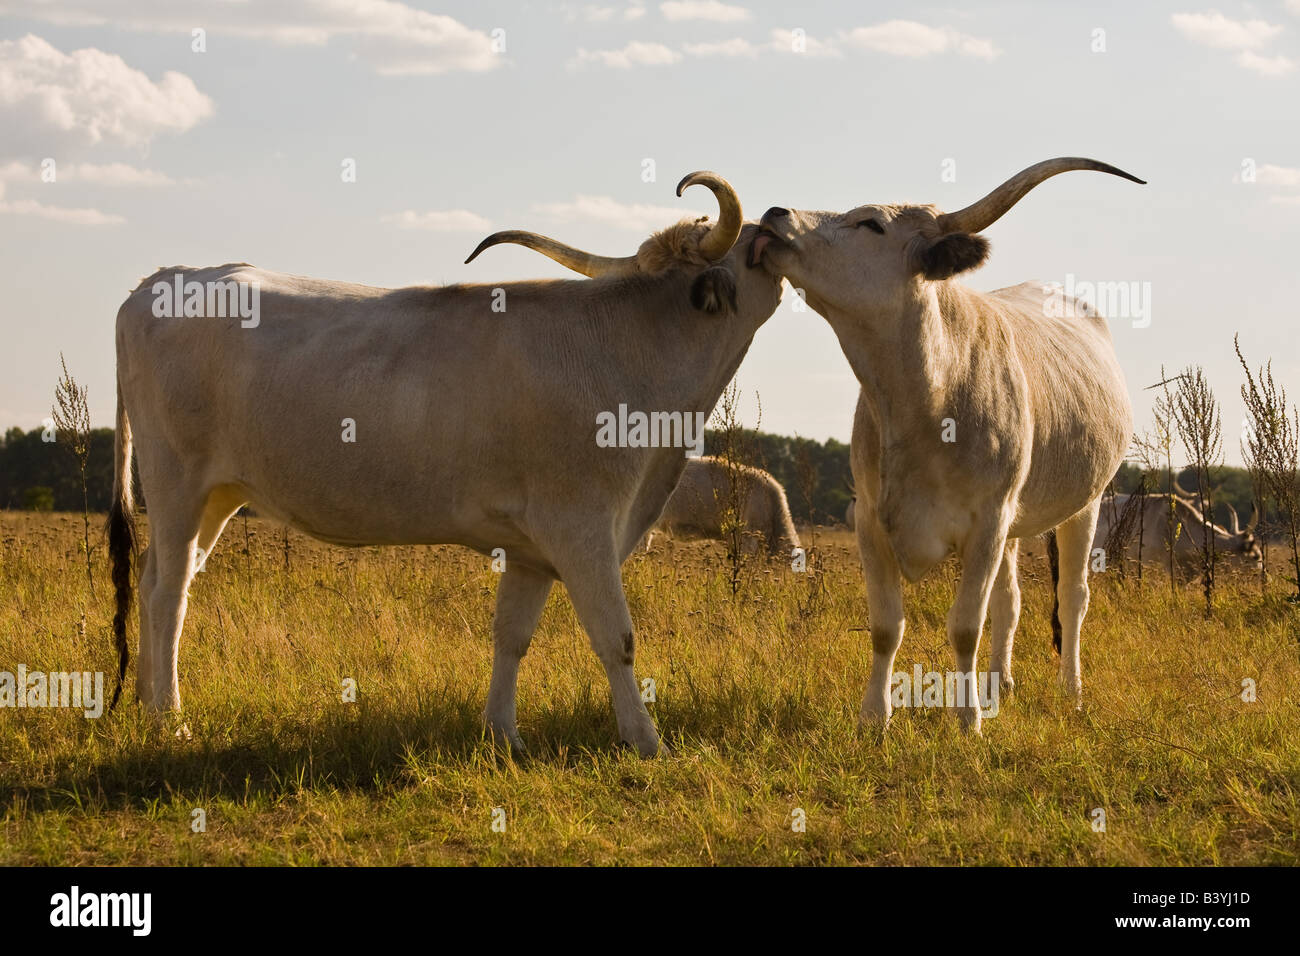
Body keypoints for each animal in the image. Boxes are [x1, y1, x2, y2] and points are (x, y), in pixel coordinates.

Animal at [107, 171, 783, 757]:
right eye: (752, 244)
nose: (779, 214)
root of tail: (160, 279)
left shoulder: (534, 547)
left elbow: (512, 637)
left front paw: (505, 737)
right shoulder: (582, 526)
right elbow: (616, 638)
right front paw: (647, 742)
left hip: (218, 493)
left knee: (155, 575)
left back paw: (143, 704)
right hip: (176, 483)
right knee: (168, 593)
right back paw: (169, 719)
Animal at [751, 157, 1144, 733]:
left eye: (871, 224)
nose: (774, 212)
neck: (928, 395)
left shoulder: (986, 522)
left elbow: (964, 626)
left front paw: (968, 720)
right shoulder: (870, 520)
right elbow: (887, 626)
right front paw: (875, 718)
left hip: (1084, 504)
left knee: (1072, 598)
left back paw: (1069, 692)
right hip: (1013, 524)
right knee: (1010, 600)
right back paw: (1000, 684)